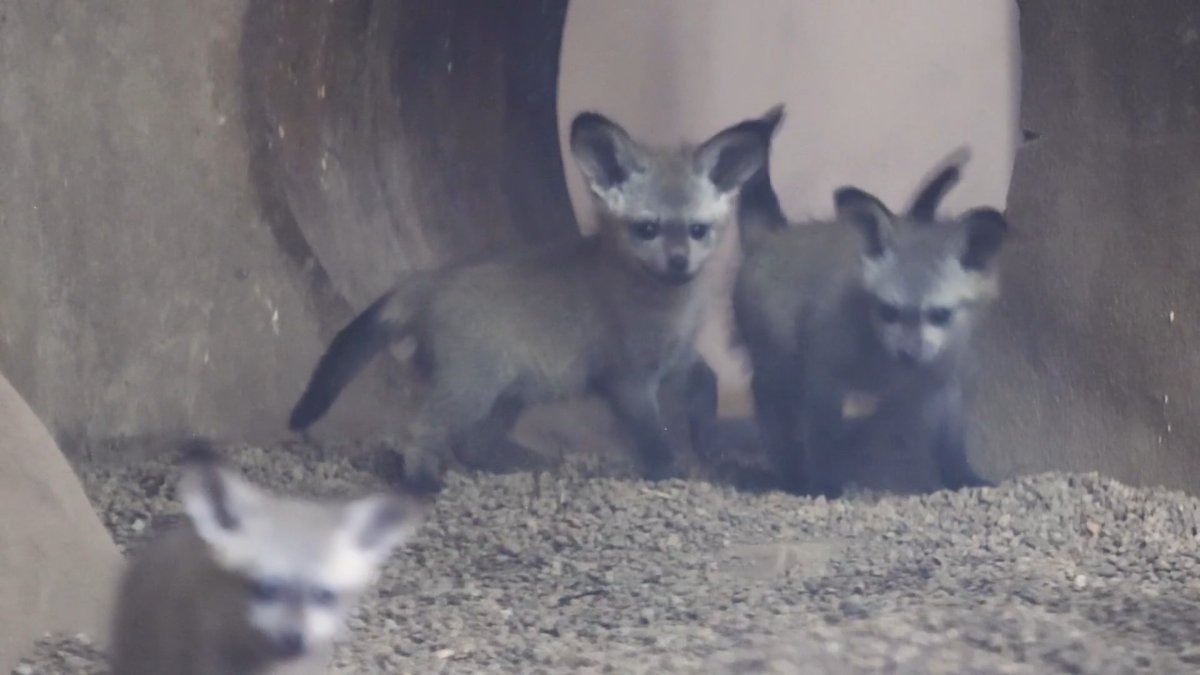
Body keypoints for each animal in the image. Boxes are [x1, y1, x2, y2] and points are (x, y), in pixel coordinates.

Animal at [288, 110, 769, 488]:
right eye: (647, 229)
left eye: (698, 230)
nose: (679, 264)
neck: (669, 311)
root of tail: (428, 282)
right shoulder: (628, 381)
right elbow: (652, 437)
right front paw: (668, 471)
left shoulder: (679, 361)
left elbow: (708, 385)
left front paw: (707, 441)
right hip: (471, 389)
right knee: (422, 431)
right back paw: (422, 481)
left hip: (507, 395)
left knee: (472, 445)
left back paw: (517, 465)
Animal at [733, 148, 1007, 496]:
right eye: (889, 311)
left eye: (939, 314)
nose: (909, 354)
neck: (888, 371)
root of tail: (771, 236)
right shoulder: (825, 377)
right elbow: (823, 439)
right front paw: (825, 484)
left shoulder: (943, 381)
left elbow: (952, 442)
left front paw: (961, 476)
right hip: (779, 371)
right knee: (772, 414)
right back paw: (792, 473)